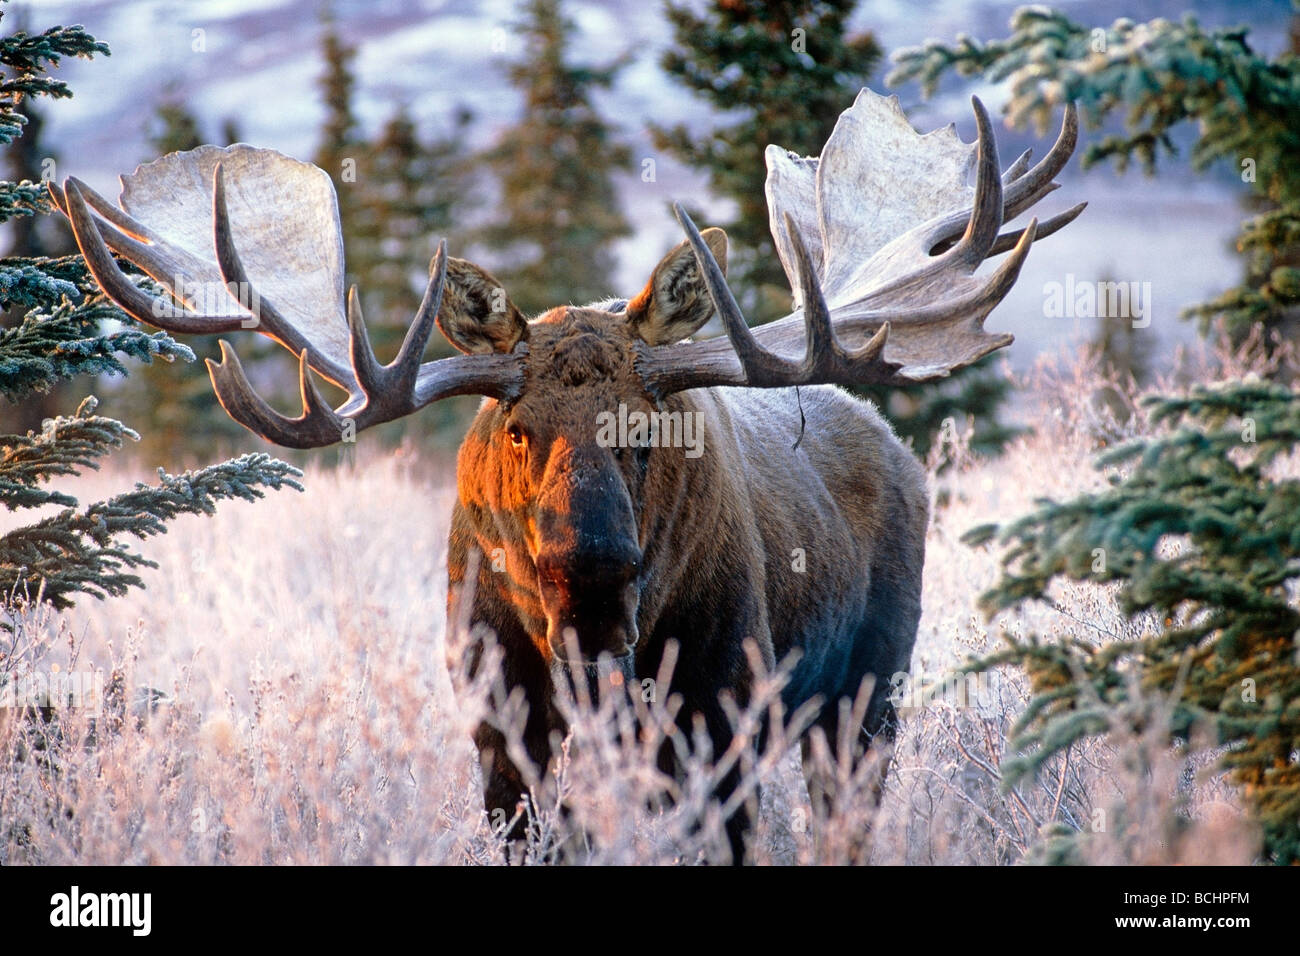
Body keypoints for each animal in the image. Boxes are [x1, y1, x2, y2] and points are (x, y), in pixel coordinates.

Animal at [52, 89, 1081, 863]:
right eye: (517, 430)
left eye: (647, 430)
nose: (589, 570)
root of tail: (894, 445)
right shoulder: (501, 730)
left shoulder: (723, 717)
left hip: (868, 690)